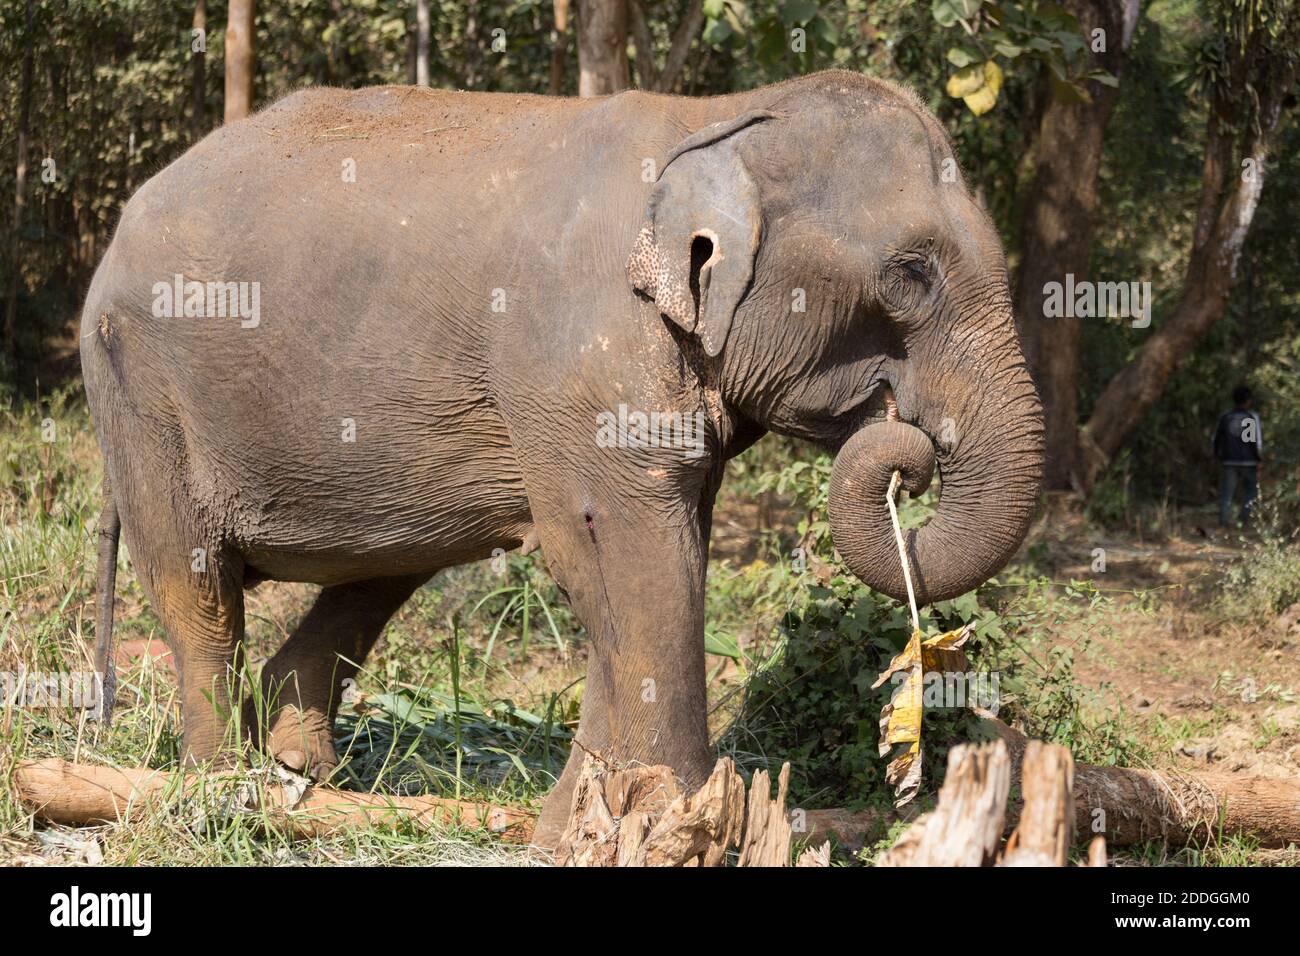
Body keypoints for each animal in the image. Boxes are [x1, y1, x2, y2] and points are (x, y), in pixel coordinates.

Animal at [80, 70, 1043, 849]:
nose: (908, 452)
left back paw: (299, 773)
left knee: (387, 563)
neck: (719, 116)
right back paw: (224, 792)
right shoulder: (577, 358)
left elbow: (645, 554)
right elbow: (616, 545)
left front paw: (580, 827)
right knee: (194, 584)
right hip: (138, 391)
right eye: (911, 273)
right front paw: (678, 826)